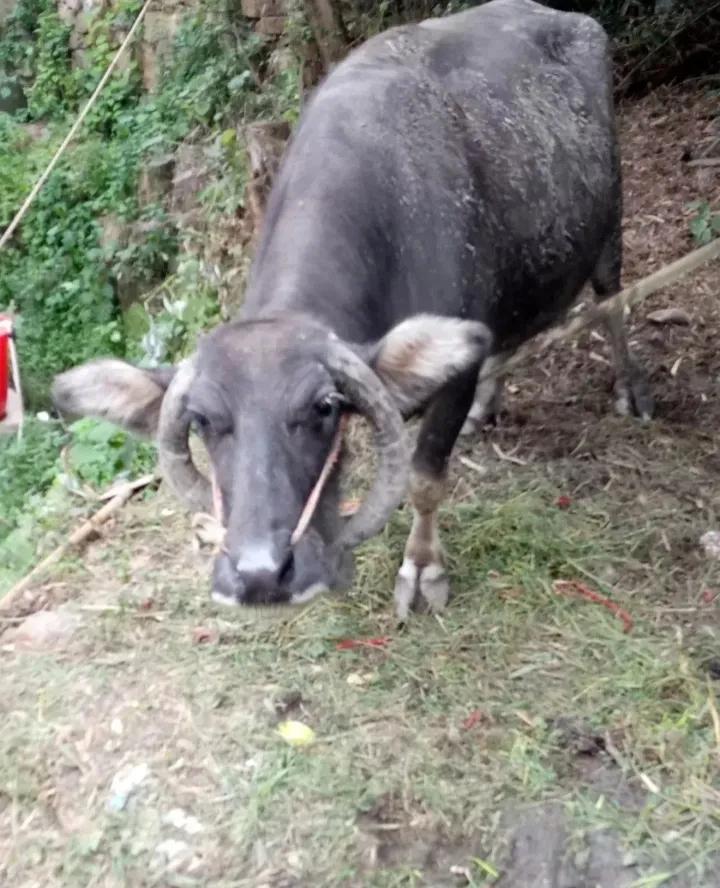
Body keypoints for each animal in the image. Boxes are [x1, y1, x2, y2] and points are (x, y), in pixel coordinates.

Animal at [52, 0, 652, 618]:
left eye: (323, 407)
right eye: (200, 420)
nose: (260, 574)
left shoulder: (449, 379)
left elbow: (423, 478)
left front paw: (422, 569)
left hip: (610, 228)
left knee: (613, 302)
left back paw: (630, 390)